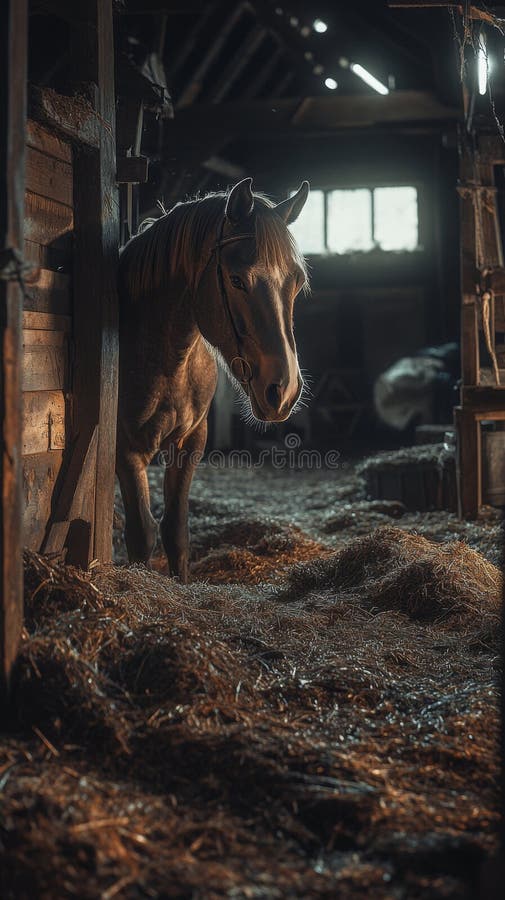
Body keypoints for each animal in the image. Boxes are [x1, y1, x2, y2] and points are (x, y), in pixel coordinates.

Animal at [116, 177, 309, 581]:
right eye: (236, 280)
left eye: (297, 282)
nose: (284, 390)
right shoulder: (126, 448)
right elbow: (141, 534)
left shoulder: (191, 441)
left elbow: (175, 531)